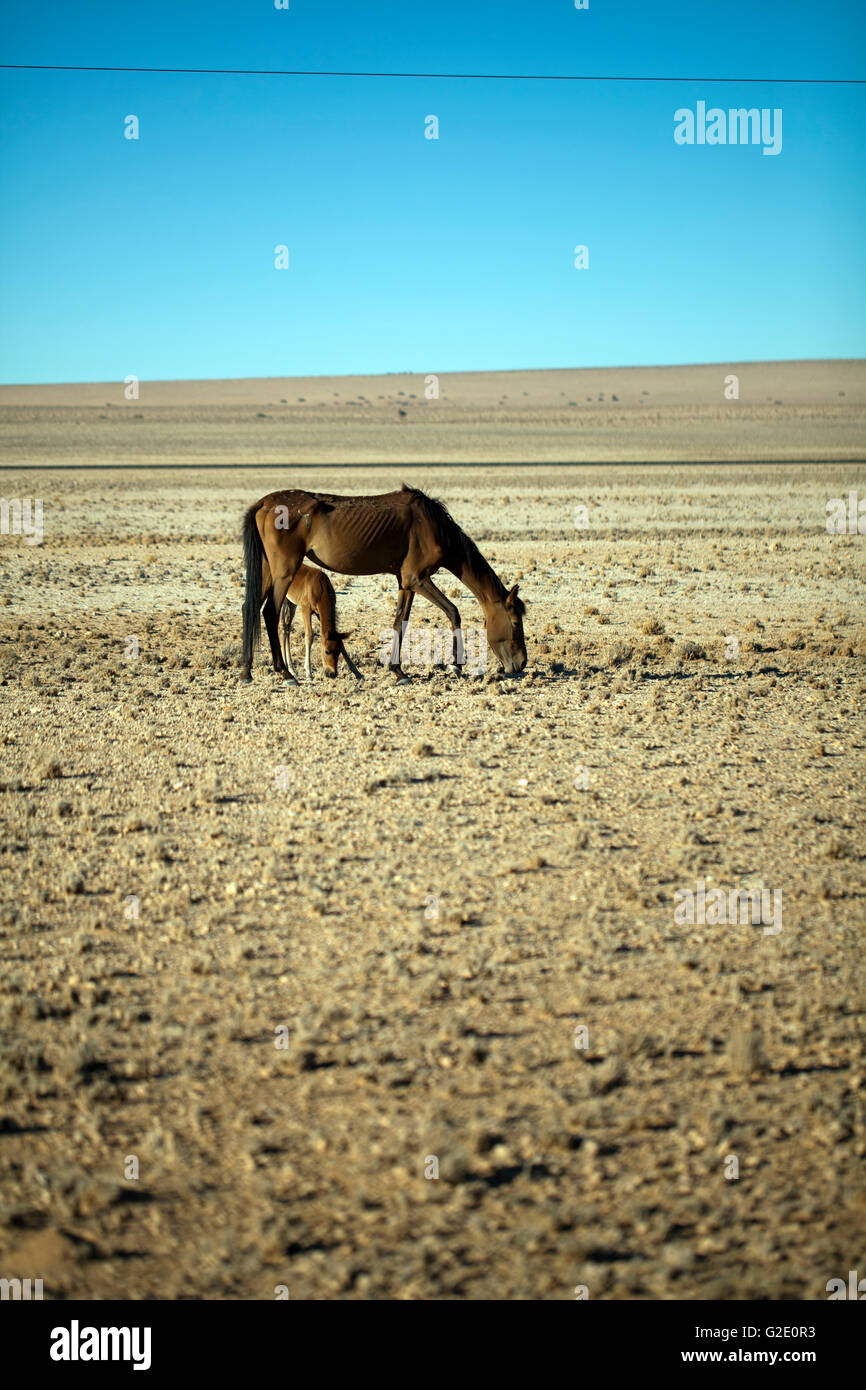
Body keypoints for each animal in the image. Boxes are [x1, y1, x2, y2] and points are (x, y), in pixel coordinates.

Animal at [240, 484, 526, 682]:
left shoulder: (405, 582)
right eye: (515, 622)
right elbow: (453, 611)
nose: (521, 664)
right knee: (270, 611)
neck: (433, 525)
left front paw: (398, 671)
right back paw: (286, 674)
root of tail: (263, 503)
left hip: (268, 570)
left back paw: (246, 671)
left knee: (249, 608)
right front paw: (456, 665)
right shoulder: (418, 578)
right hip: (284, 571)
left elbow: (400, 621)